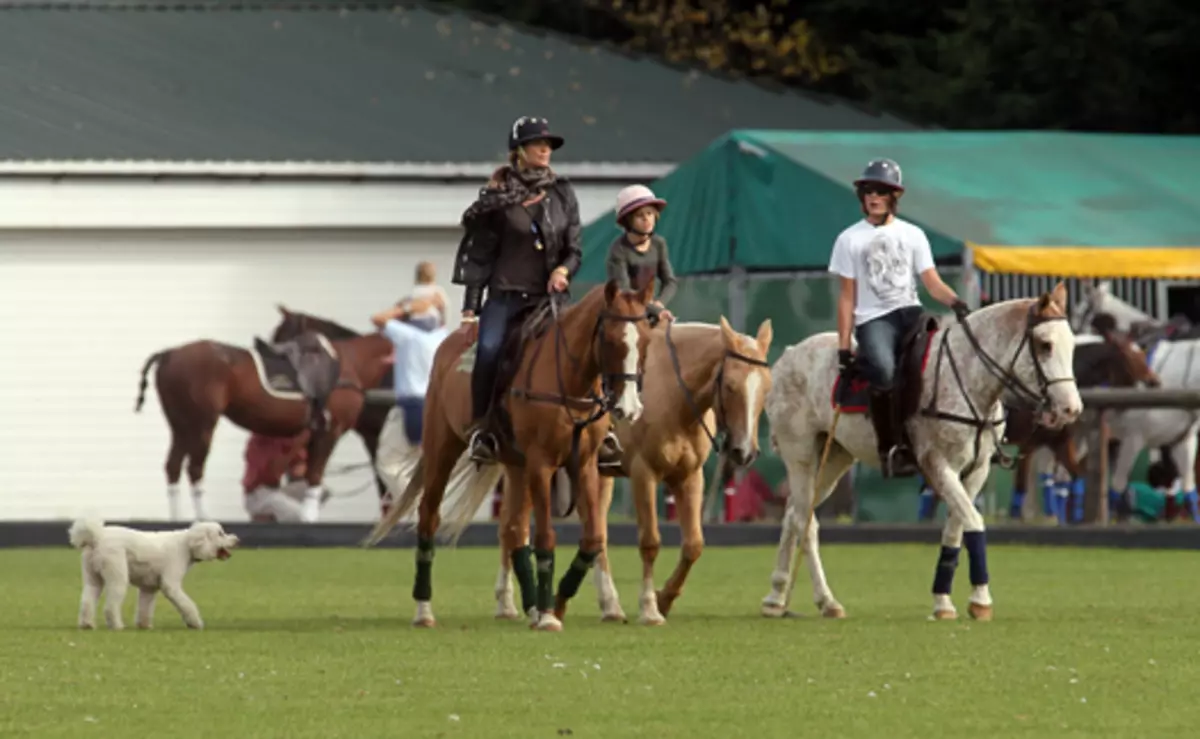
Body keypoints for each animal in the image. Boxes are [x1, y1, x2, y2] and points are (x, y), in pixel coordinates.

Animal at [362, 279, 657, 633]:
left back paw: (528, 606)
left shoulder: (584, 464)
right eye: (610, 339)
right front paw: (549, 615)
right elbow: (545, 537)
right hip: (442, 448)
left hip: (516, 466)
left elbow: (593, 538)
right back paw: (424, 610)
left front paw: (557, 602)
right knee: (429, 517)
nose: (629, 408)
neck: (568, 381)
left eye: (646, 338)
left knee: (514, 528)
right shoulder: (542, 465)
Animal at [489, 316, 777, 623]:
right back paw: (508, 604)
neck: (671, 392)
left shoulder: (689, 476)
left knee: (593, 533)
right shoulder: (643, 474)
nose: (744, 452)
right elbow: (650, 542)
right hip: (526, 467)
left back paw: (609, 606)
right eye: (731, 386)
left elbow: (693, 544)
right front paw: (650, 608)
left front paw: (665, 599)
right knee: (511, 526)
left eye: (767, 388)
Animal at [763, 285, 1084, 619]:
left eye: (1072, 344)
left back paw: (776, 597)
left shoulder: (977, 469)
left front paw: (943, 601)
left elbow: (956, 528)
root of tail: (787, 356)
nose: (1070, 409)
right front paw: (980, 600)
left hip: (833, 457)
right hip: (799, 454)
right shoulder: (938, 464)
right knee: (806, 522)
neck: (969, 379)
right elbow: (973, 520)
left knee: (793, 513)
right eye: (1045, 344)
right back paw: (827, 601)